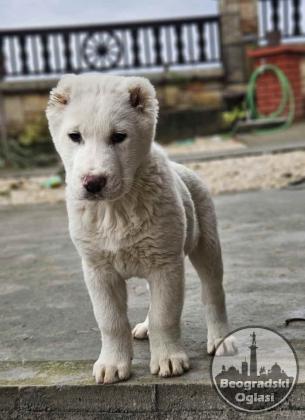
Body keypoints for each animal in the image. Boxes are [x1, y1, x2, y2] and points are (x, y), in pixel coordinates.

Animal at [45, 73, 235, 384]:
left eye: (118, 137)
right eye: (75, 136)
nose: (93, 183)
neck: (115, 209)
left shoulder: (166, 265)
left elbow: (165, 315)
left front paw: (168, 358)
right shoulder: (98, 270)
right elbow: (110, 320)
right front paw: (112, 363)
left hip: (207, 244)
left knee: (213, 292)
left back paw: (221, 340)